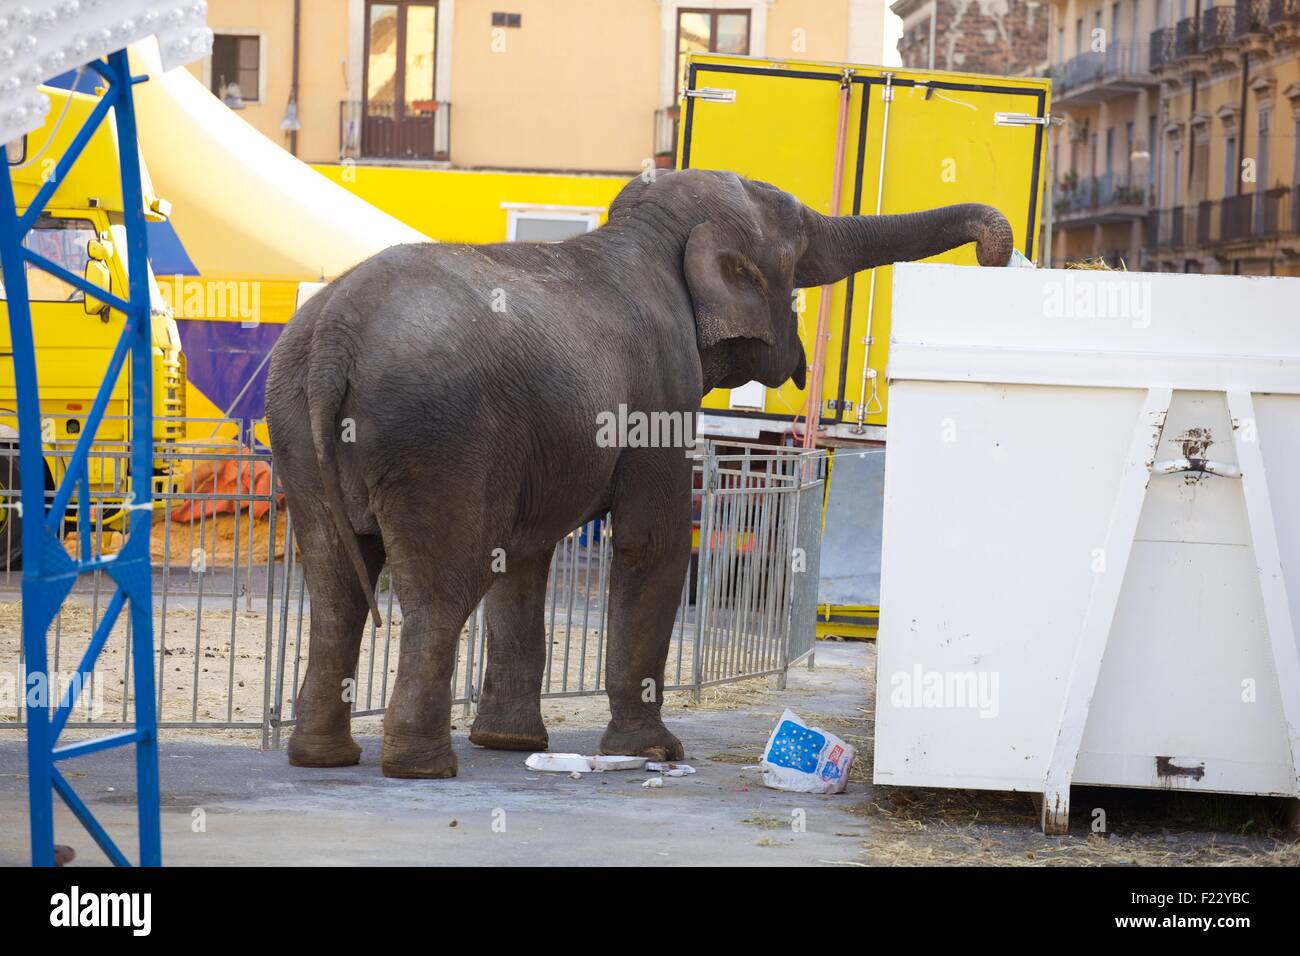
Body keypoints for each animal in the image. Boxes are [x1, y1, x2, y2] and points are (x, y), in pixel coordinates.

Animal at [265, 168, 1013, 779]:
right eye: (798, 239)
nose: (992, 255)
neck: (645, 233)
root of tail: (333, 338)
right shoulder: (661, 386)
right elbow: (651, 543)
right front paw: (654, 753)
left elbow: (524, 558)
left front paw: (511, 745)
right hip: (434, 440)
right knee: (437, 590)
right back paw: (421, 768)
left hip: (295, 428)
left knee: (336, 588)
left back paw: (323, 758)